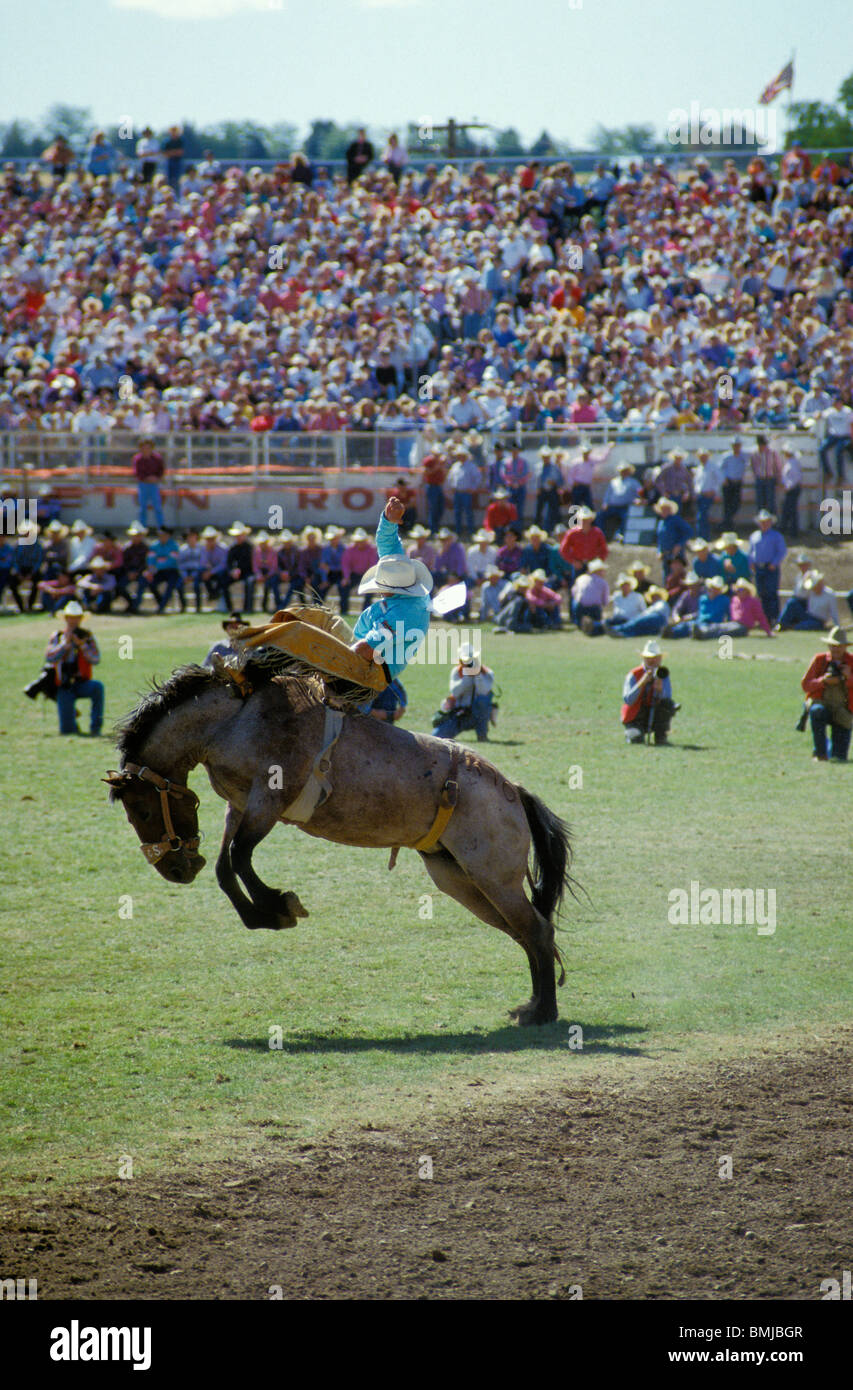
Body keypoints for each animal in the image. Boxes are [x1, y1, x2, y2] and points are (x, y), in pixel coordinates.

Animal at [105, 662, 575, 1025]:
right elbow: (225, 868)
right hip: (459, 878)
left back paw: (542, 1012)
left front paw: (281, 907)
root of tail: (513, 790)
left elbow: (239, 858)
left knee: (537, 929)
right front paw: (264, 915)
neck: (234, 721)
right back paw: (533, 1004)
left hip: (492, 877)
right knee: (525, 932)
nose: (175, 870)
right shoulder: (239, 807)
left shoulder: (268, 801)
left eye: (141, 811)